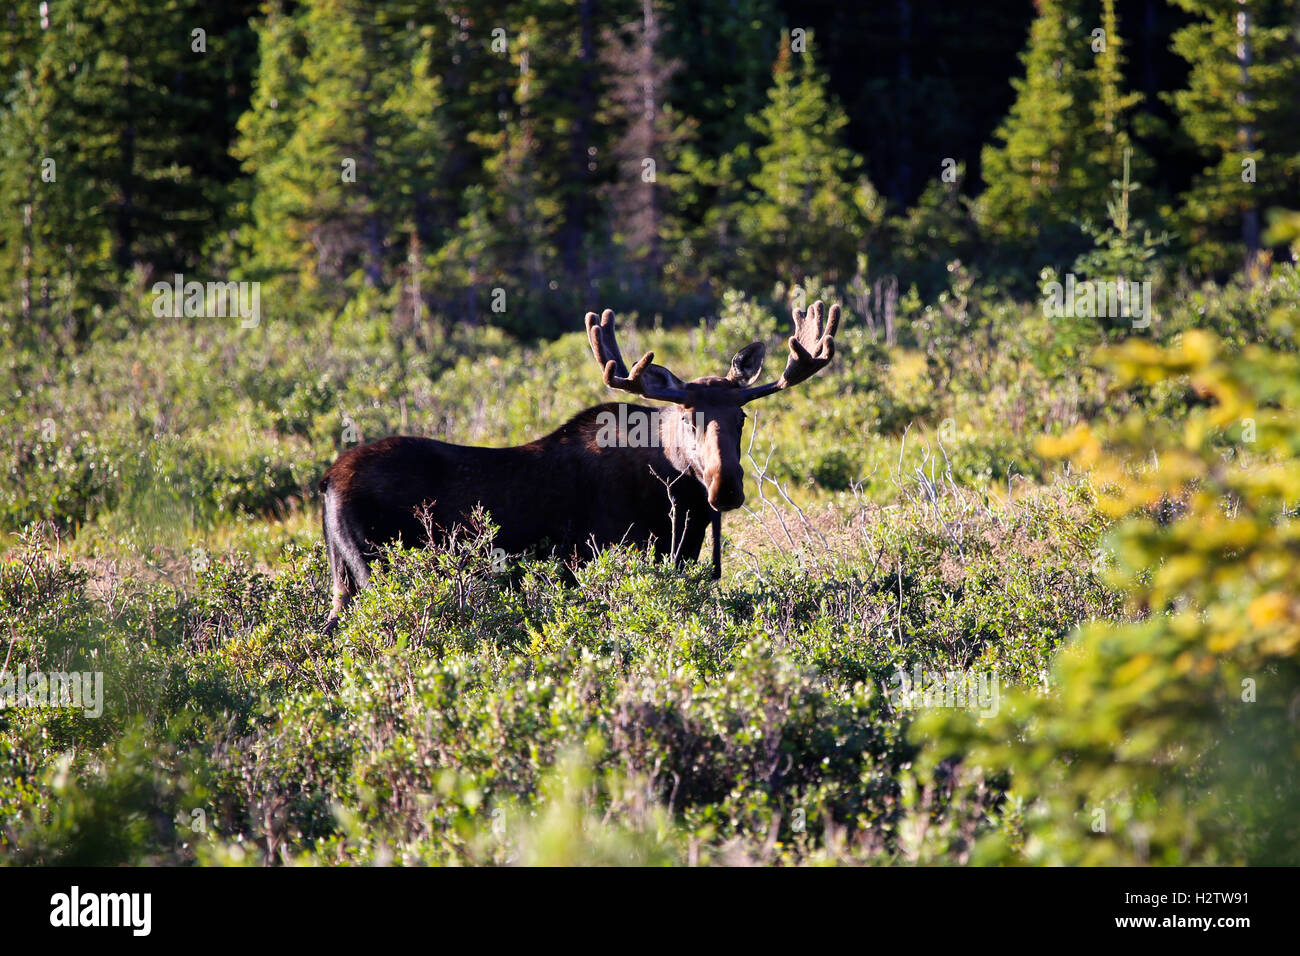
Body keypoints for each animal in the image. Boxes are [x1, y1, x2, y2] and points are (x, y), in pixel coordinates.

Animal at [319, 300, 840, 633]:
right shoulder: (592, 558)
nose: (725, 487)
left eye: (742, 416)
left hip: (344, 579)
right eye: (689, 416)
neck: (681, 502)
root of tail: (326, 481)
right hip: (377, 569)